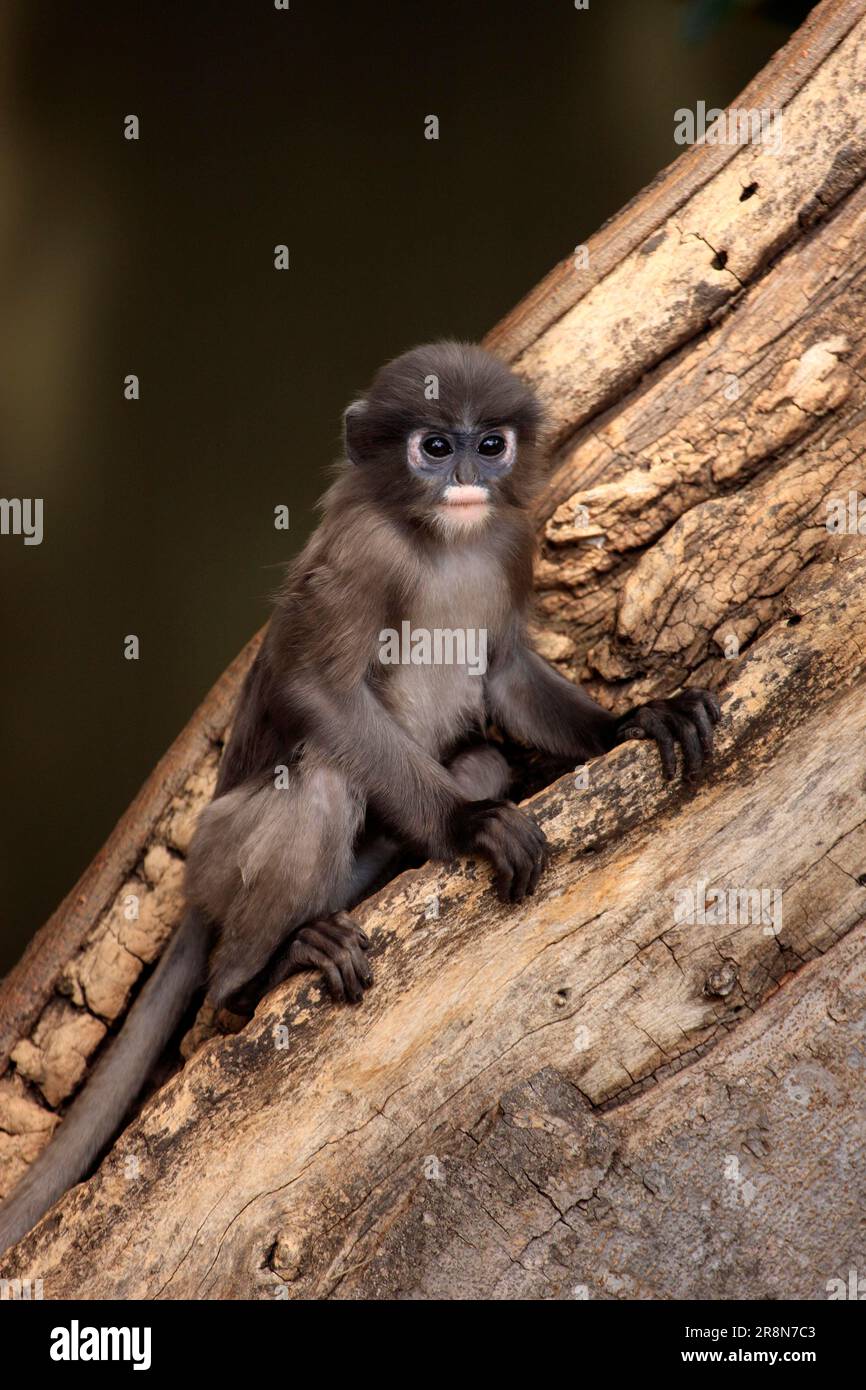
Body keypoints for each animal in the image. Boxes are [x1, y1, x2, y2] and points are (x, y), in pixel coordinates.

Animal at [0, 341, 720, 1254]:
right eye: (433, 446)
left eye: (490, 444)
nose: (466, 476)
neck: (445, 543)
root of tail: (193, 890)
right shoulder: (364, 552)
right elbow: (318, 689)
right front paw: (469, 825)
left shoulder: (510, 541)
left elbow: (505, 670)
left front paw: (636, 718)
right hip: (223, 847)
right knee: (321, 782)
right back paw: (256, 977)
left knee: (482, 759)